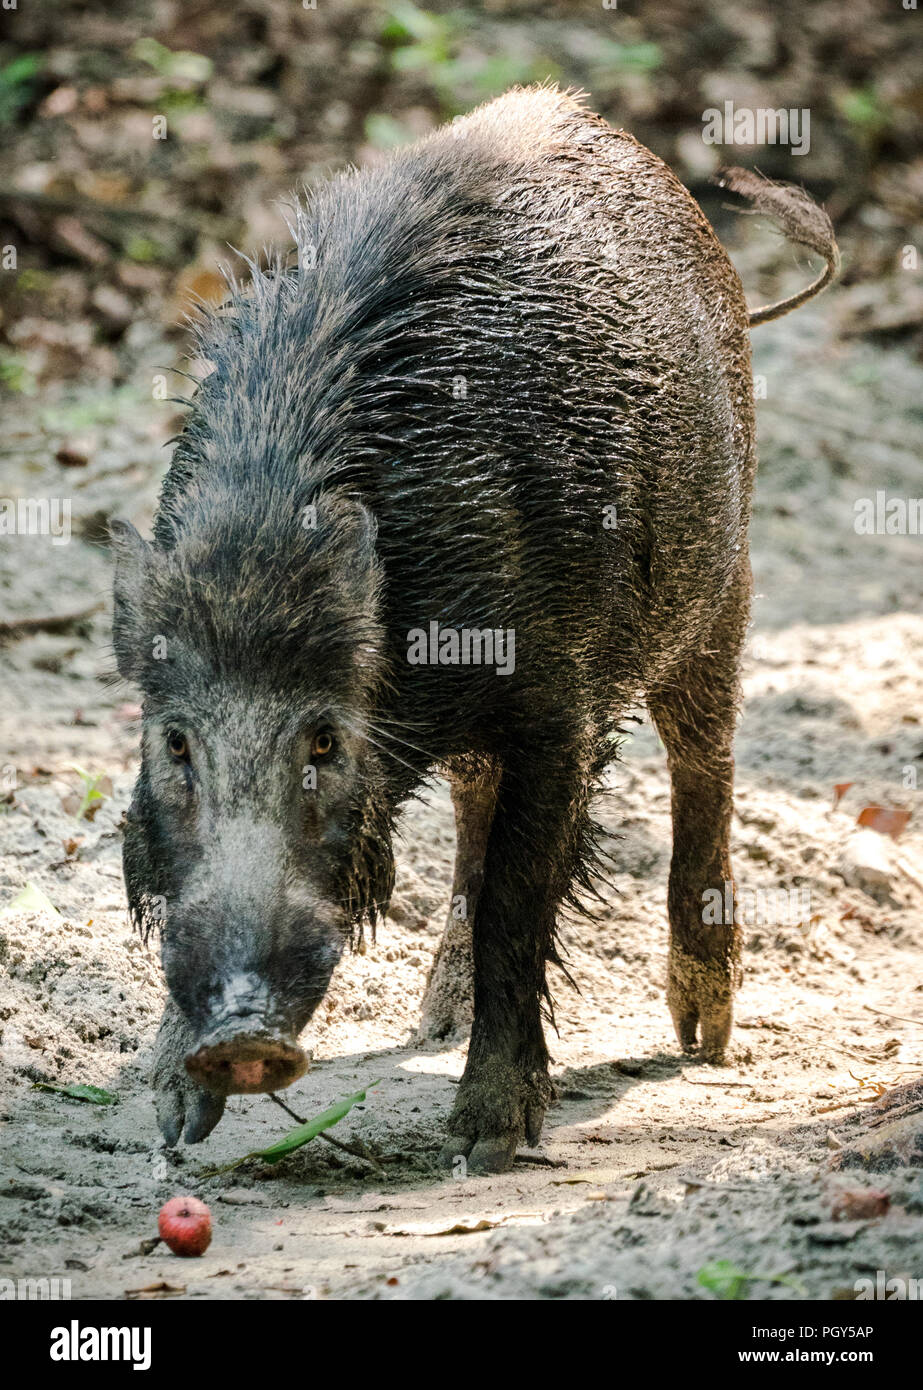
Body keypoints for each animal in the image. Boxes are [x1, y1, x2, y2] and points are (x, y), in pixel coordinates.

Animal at [111, 87, 838, 1172]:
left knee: (702, 761)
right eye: (174, 743)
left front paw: (487, 1141)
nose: (239, 1040)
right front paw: (168, 1118)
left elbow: (516, 899)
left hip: (721, 577)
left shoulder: (559, 702)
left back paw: (701, 1039)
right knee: (471, 802)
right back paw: (430, 1023)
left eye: (323, 740)